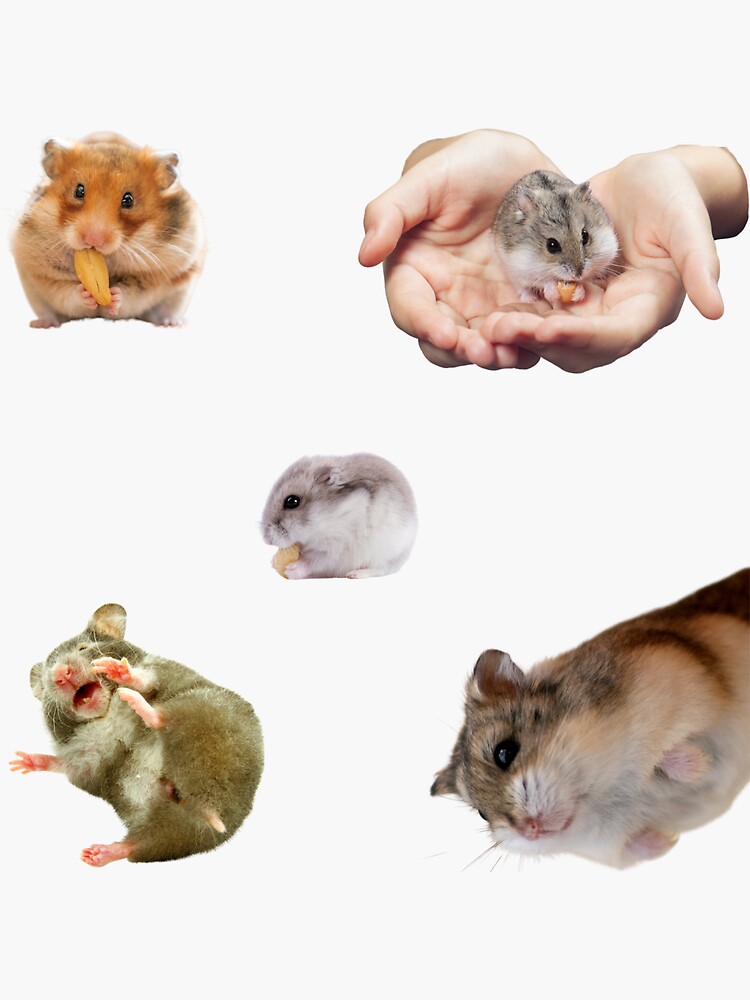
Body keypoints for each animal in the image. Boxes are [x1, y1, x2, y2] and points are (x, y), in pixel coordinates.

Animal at [11, 604, 263, 866]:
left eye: (83, 648)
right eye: (46, 677)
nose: (60, 673)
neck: (105, 712)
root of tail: (206, 800)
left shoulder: (158, 670)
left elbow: (146, 680)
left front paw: (116, 668)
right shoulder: (86, 760)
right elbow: (64, 764)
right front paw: (21, 762)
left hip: (202, 709)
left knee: (163, 718)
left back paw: (132, 698)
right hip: (175, 831)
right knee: (139, 842)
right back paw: (95, 854)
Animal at [12, 132, 206, 327]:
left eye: (128, 200)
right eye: (79, 191)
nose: (93, 240)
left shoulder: (161, 273)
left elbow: (134, 293)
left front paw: (114, 295)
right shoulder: (39, 271)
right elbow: (64, 291)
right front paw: (85, 294)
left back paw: (172, 323)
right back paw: (42, 323)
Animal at [261, 453, 418, 579]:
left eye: (292, 501)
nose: (267, 541)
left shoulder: (336, 549)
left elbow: (315, 562)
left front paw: (291, 569)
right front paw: (273, 562)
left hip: (388, 553)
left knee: (382, 569)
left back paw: (354, 574)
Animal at [432, 570, 749, 868]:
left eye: (505, 752)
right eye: (483, 814)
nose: (529, 830)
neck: (597, 794)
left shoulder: (688, 693)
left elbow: (672, 749)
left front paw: (693, 765)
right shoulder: (613, 850)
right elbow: (633, 846)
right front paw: (667, 840)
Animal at [492, 169, 619, 306]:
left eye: (585, 236)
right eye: (551, 245)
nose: (578, 275)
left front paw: (578, 293)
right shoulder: (521, 268)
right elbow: (543, 282)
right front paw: (551, 291)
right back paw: (531, 300)